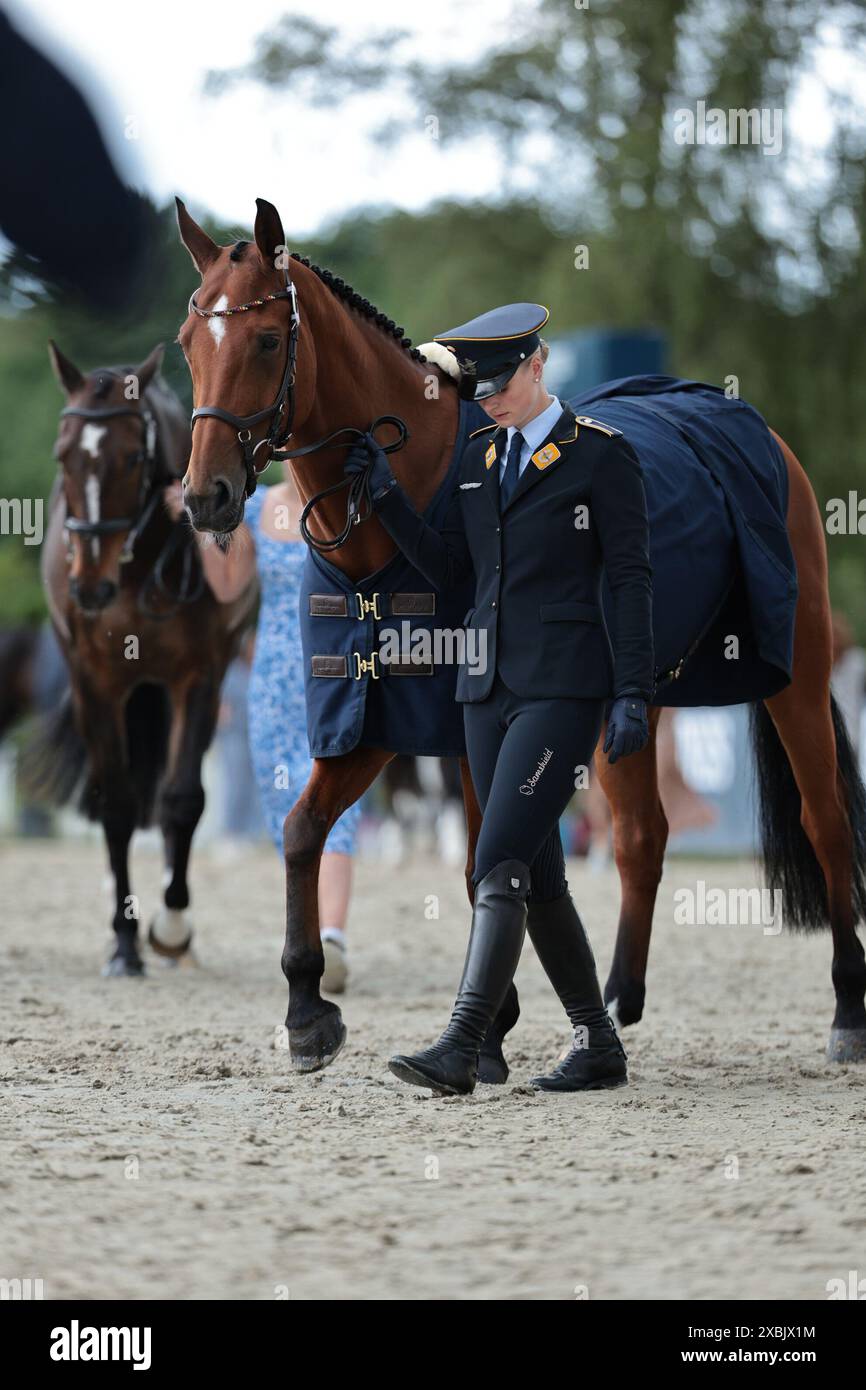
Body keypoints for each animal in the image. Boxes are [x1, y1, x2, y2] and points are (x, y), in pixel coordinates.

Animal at [36, 340, 257, 975]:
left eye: (133, 456)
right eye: (63, 456)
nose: (89, 586)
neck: (136, 574)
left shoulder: (200, 678)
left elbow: (182, 800)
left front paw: (173, 927)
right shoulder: (96, 684)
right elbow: (116, 803)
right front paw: (124, 942)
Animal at [175, 195, 866, 1071]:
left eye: (266, 339)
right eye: (188, 341)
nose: (206, 497)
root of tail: (756, 430)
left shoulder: (459, 727)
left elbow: (483, 855)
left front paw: (486, 1029)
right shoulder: (372, 719)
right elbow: (303, 832)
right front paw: (308, 1009)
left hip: (797, 671)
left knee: (827, 824)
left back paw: (847, 1009)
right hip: (632, 703)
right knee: (642, 833)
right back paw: (618, 999)